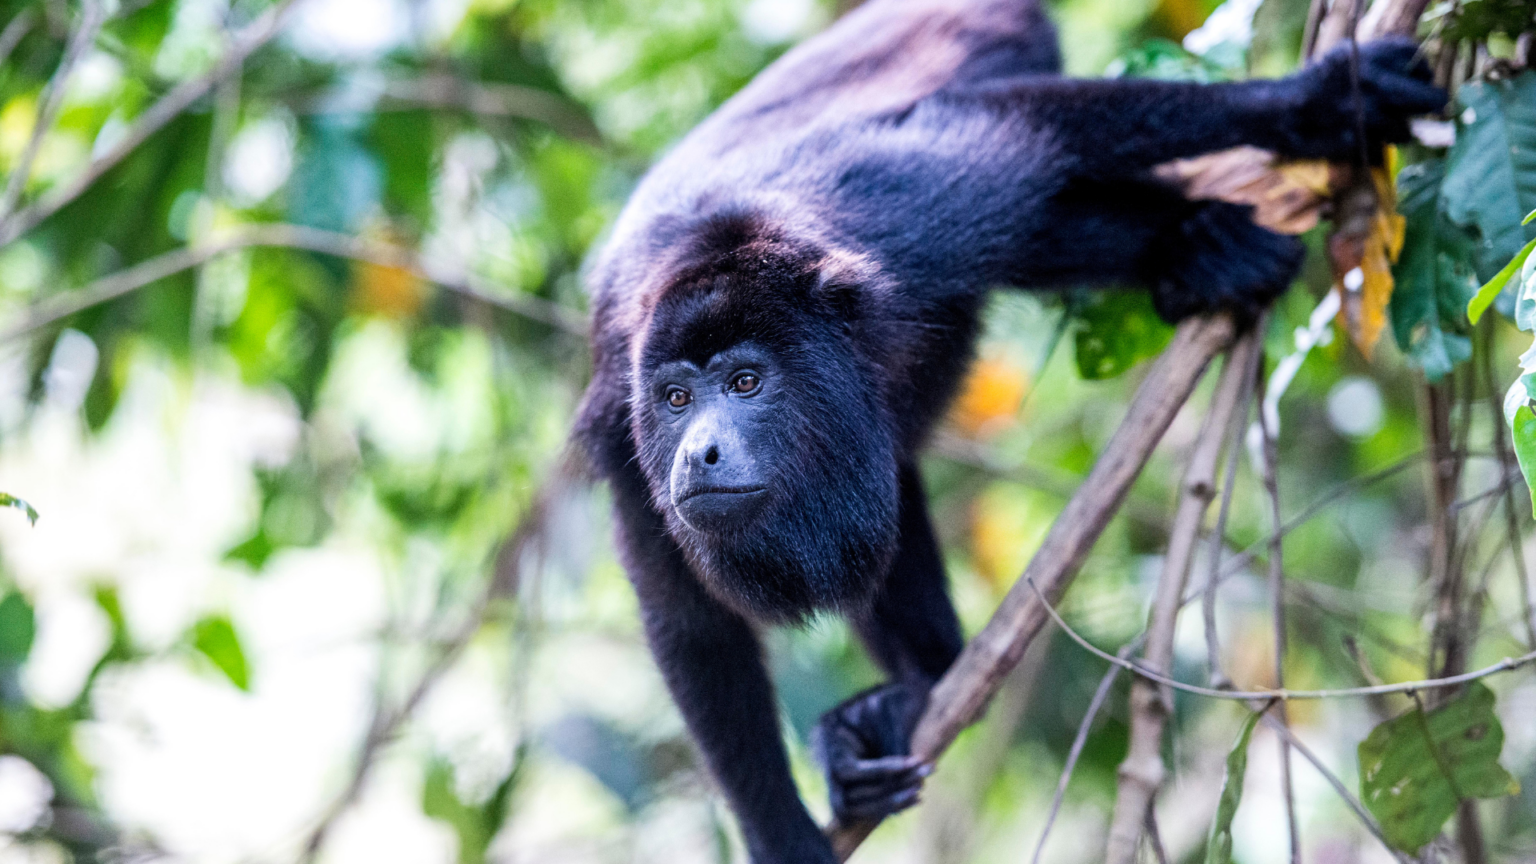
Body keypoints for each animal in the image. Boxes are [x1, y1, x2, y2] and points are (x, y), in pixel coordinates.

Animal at [571, 1, 1444, 860]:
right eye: (677, 398)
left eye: (745, 382)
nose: (698, 452)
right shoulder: (622, 419)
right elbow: (692, 627)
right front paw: (783, 836)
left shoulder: (917, 211)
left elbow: (1024, 130)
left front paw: (1317, 103)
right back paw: (904, 703)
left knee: (1052, 210)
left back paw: (1201, 244)